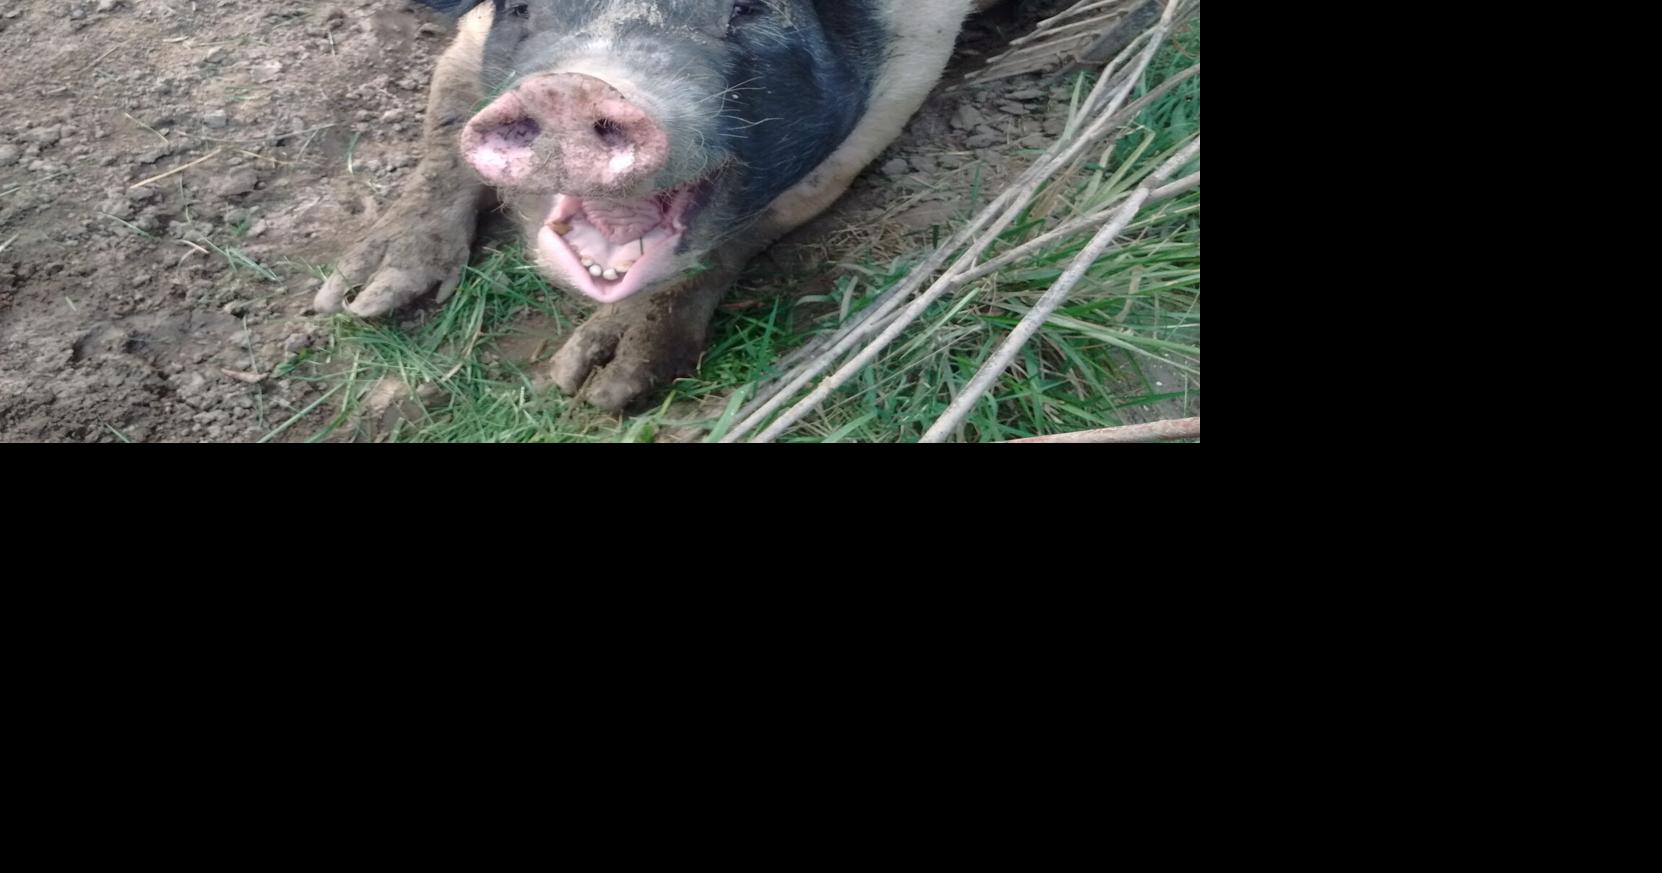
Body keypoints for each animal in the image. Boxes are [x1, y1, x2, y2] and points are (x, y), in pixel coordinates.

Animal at [315, 0, 1001, 411]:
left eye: (750, 10)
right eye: (525, 8)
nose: (570, 87)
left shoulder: (918, 51)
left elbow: (784, 203)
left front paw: (594, 386)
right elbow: (450, 102)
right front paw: (356, 303)